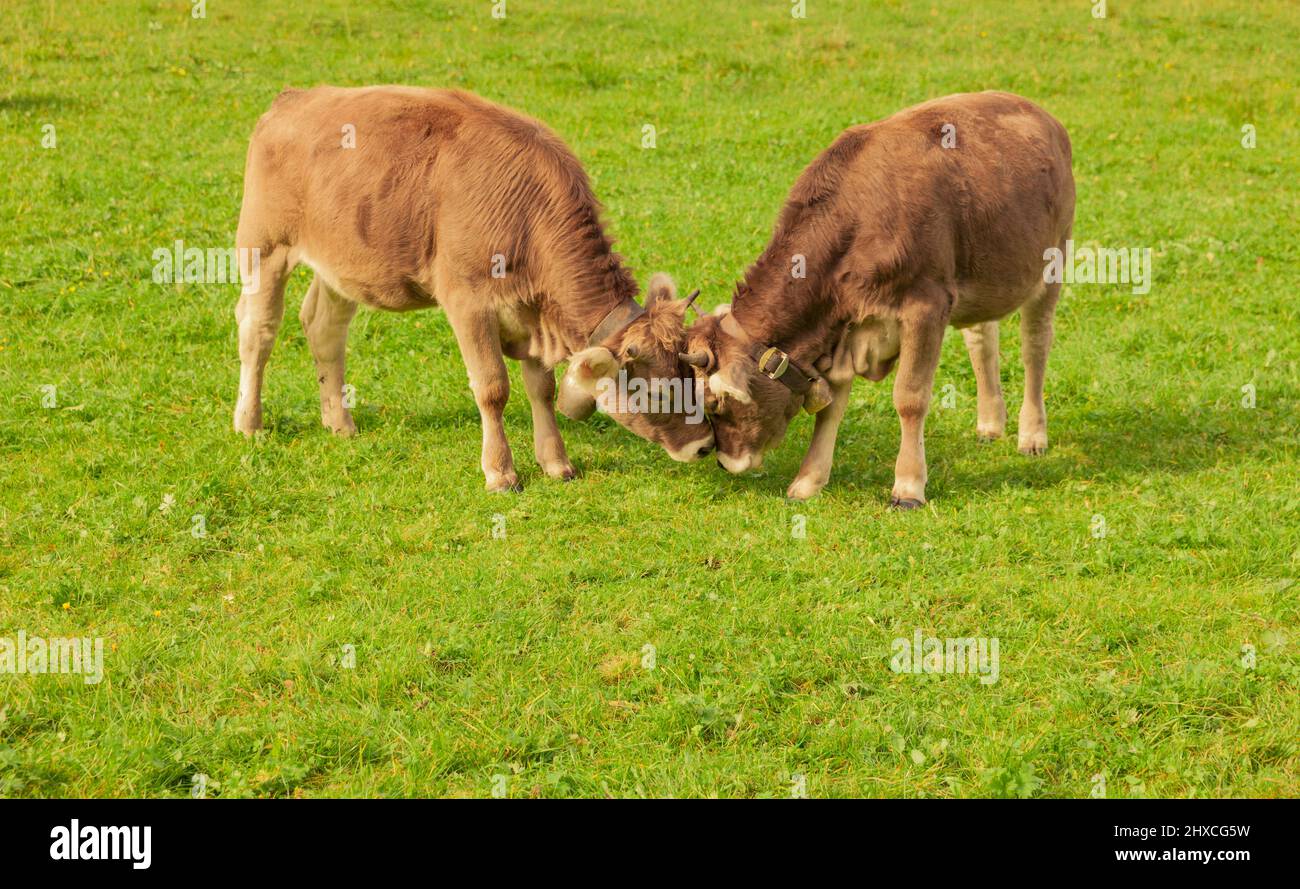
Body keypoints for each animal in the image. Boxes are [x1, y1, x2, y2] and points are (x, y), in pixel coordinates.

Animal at [234, 86, 714, 491]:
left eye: (691, 377)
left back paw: (340, 423)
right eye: (653, 391)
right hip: (264, 246)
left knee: (325, 329)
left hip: (341, 263)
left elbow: (542, 388)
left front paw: (556, 462)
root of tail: (296, 97)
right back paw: (249, 423)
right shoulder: (467, 302)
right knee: (258, 331)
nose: (705, 445)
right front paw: (500, 472)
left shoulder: (530, 313)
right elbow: (492, 388)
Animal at [680, 91, 1075, 506]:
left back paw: (1032, 434)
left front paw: (909, 486)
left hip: (1053, 263)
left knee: (1035, 345)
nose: (724, 462)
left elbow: (910, 397)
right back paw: (990, 422)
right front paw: (808, 480)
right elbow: (832, 406)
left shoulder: (926, 305)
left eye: (715, 403)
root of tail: (1036, 110)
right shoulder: (846, 325)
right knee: (982, 337)